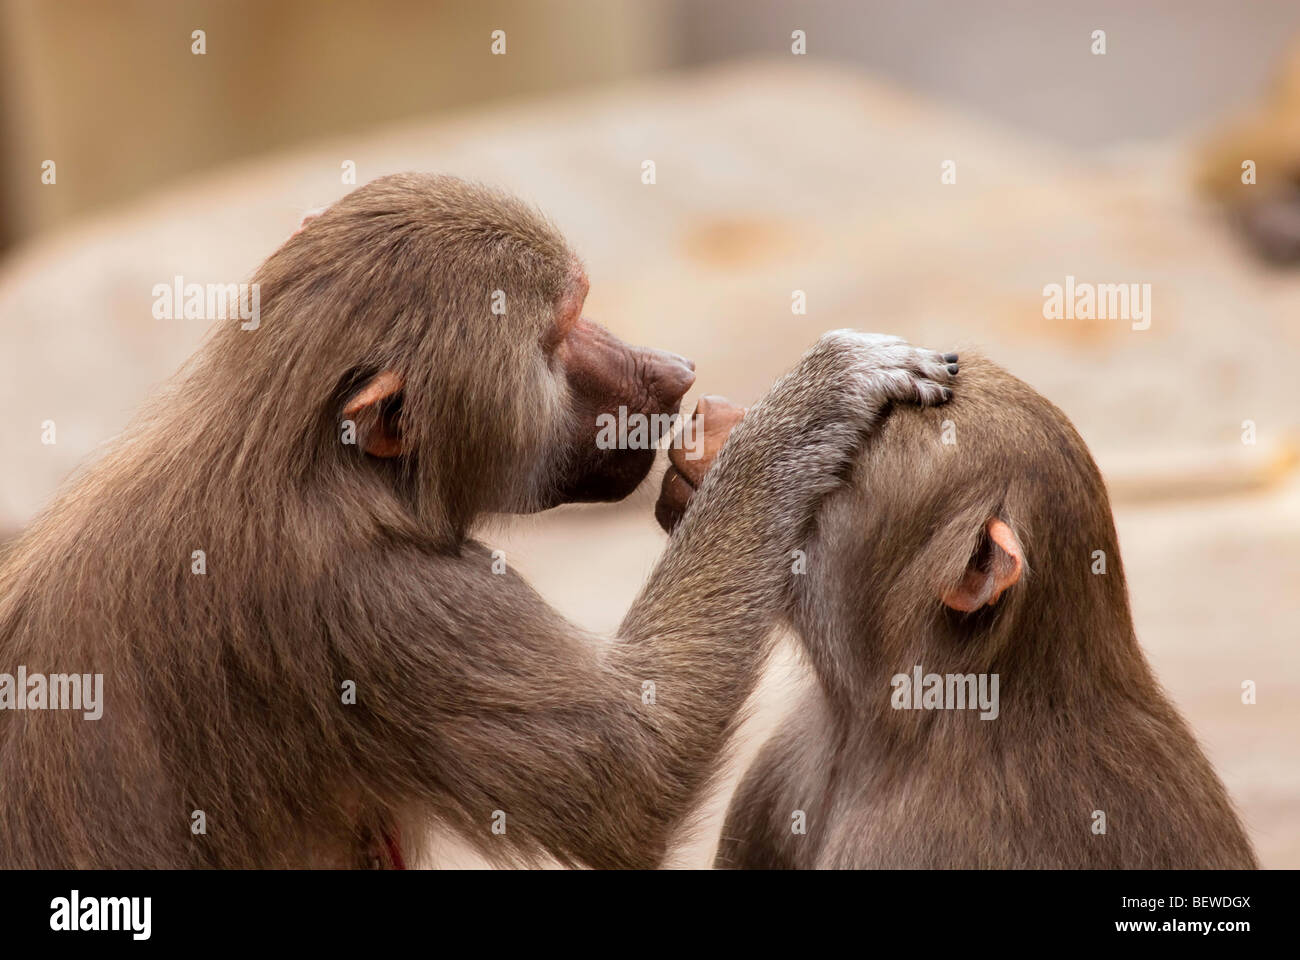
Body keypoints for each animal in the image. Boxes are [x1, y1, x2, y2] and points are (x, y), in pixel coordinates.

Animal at [0, 172, 959, 869]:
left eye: (581, 307)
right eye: (557, 336)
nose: (673, 372)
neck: (304, 461)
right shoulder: (383, 606)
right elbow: (633, 779)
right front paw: (822, 393)